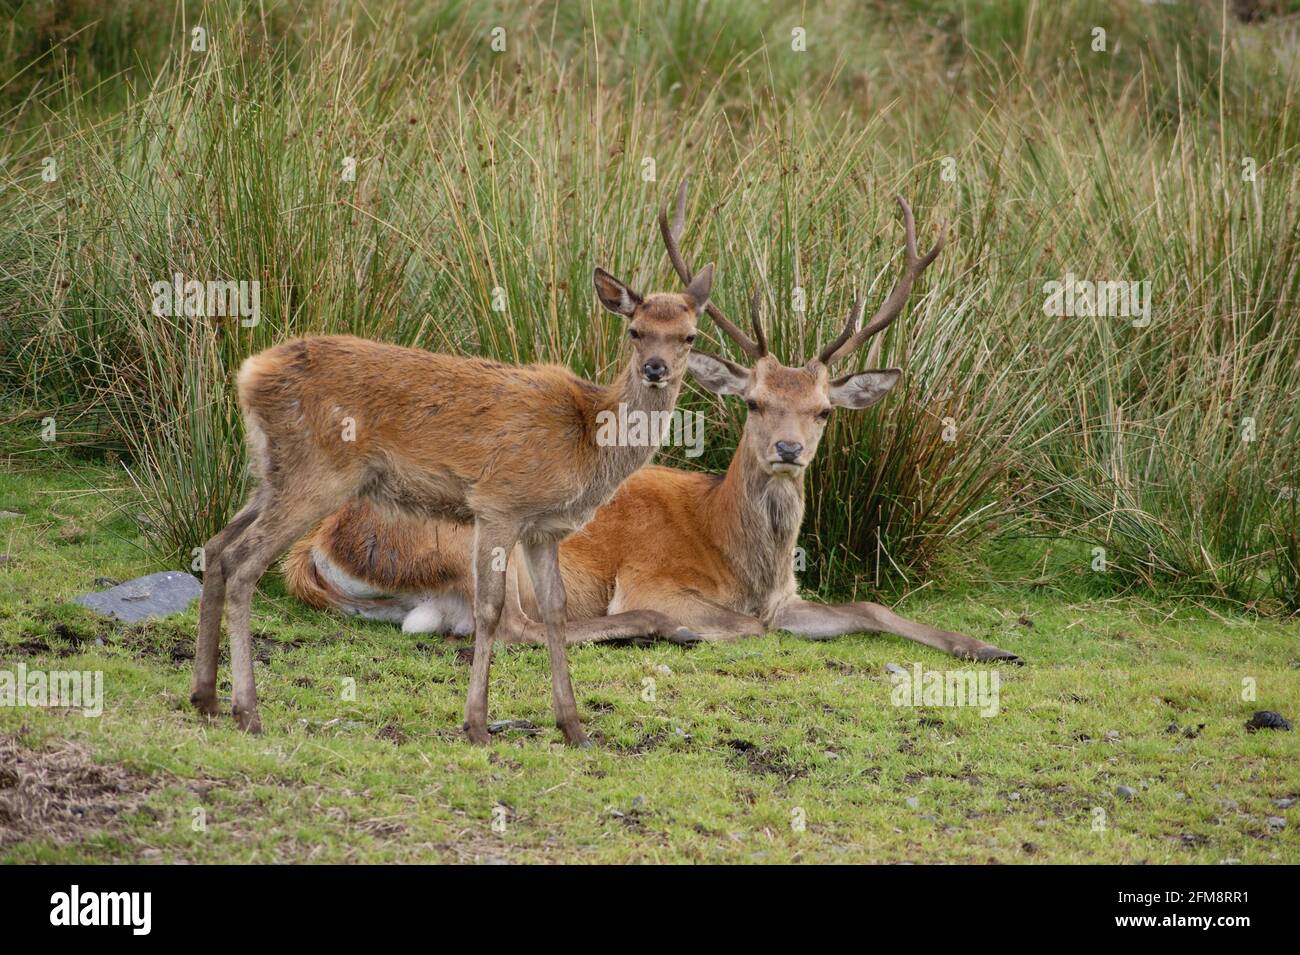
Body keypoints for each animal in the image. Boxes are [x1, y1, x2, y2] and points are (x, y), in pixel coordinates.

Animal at [191, 208, 718, 747]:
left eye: (689, 336)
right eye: (635, 329)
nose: (655, 368)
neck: (590, 439)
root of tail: (249, 372)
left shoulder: (544, 530)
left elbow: (555, 610)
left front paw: (573, 728)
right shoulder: (499, 504)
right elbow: (490, 610)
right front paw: (477, 725)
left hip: (270, 474)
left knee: (215, 546)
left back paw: (206, 698)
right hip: (316, 476)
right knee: (243, 561)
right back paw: (247, 712)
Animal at [282, 194, 1023, 690]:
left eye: (822, 413)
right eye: (753, 402)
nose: (787, 451)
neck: (742, 558)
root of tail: (320, 542)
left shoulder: (787, 596)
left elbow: (869, 604)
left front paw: (990, 647)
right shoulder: (657, 577)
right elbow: (746, 626)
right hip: (486, 535)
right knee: (516, 626)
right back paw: (669, 630)